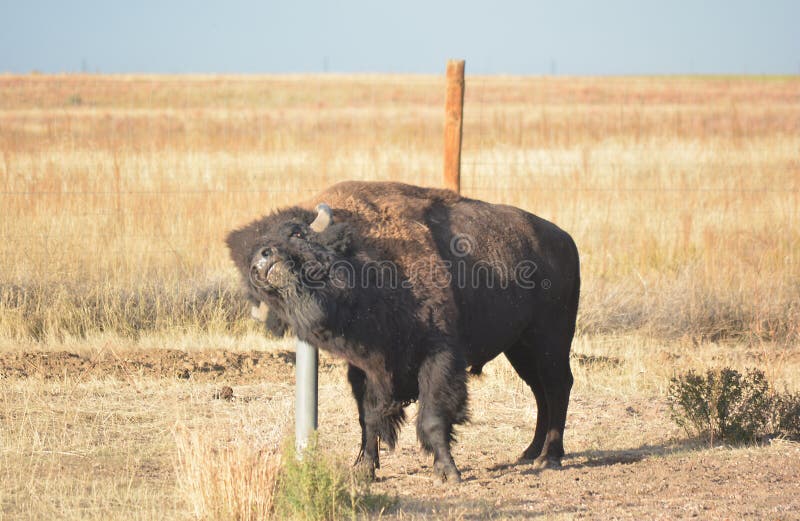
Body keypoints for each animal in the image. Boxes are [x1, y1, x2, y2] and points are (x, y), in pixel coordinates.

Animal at [226, 181, 580, 483]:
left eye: (297, 232)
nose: (263, 260)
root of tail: (565, 240)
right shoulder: (366, 369)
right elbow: (369, 417)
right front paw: (364, 470)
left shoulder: (439, 356)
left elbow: (433, 417)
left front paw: (448, 473)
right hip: (520, 348)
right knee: (540, 392)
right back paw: (530, 453)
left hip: (551, 340)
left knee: (557, 387)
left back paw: (549, 457)